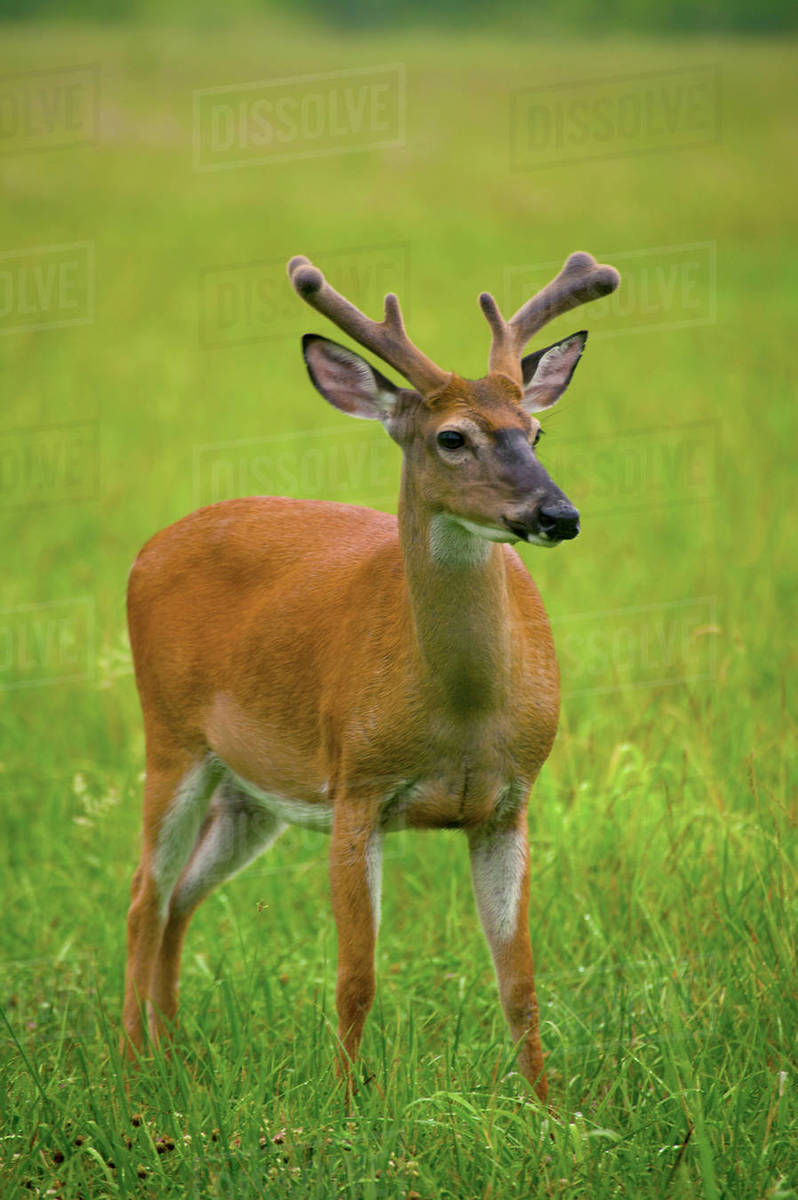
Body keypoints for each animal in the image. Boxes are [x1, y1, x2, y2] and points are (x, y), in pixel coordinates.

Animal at [122, 250, 620, 1102]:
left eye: (535, 429)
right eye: (452, 436)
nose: (558, 514)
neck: (461, 713)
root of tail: (149, 547)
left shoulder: (511, 801)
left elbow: (520, 980)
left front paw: (550, 1109)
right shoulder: (356, 786)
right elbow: (356, 977)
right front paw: (346, 1105)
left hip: (249, 793)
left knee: (181, 896)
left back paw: (172, 1048)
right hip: (171, 735)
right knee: (142, 896)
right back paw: (129, 1064)